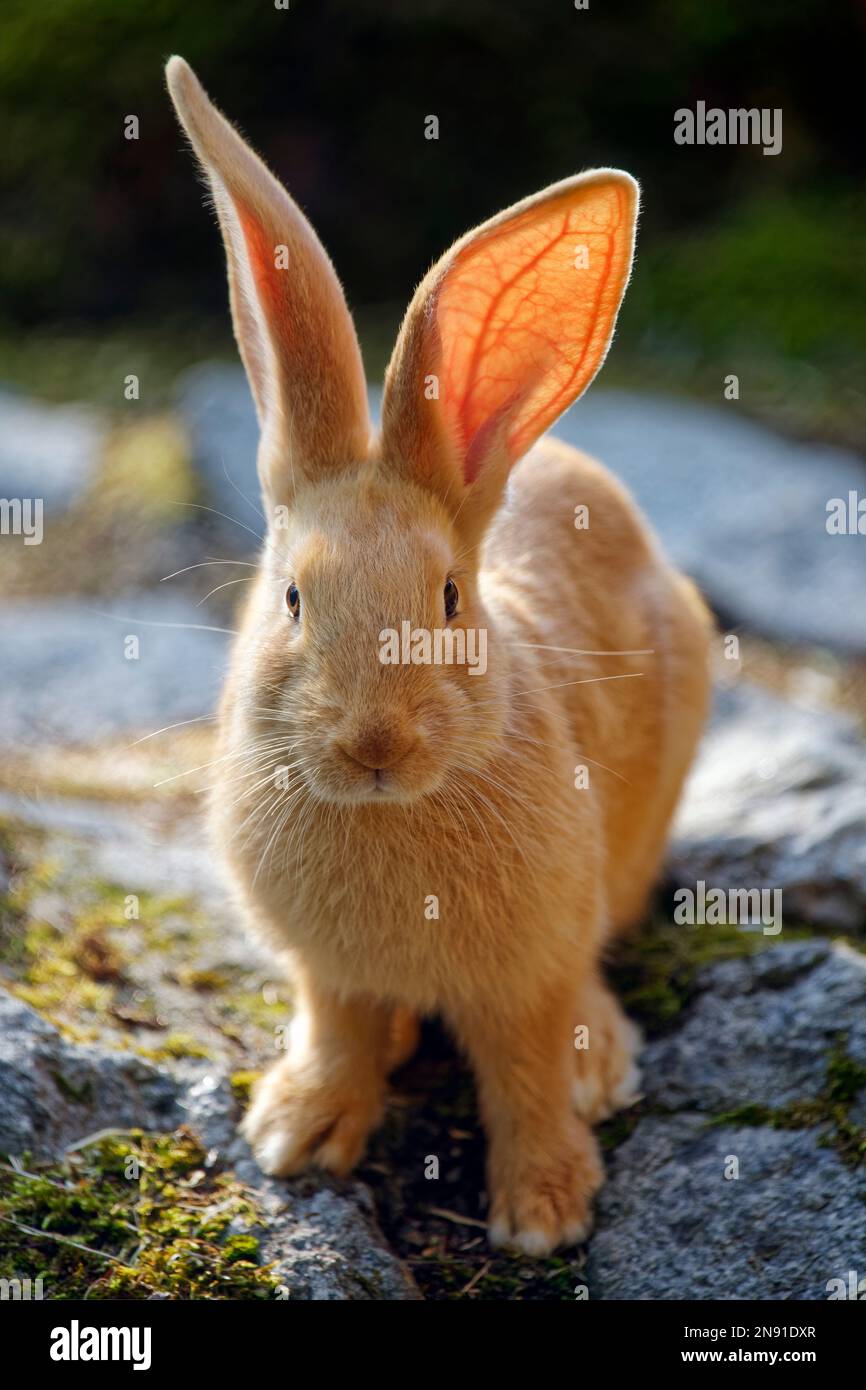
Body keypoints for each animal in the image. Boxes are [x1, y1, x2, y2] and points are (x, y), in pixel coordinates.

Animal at [167, 54, 711, 1256]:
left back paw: (602, 1059)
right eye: (290, 599)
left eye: (451, 600)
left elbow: (524, 1073)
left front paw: (543, 1211)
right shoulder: (328, 975)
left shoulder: (529, 973)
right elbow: (338, 1031)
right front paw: (295, 1135)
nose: (375, 743)